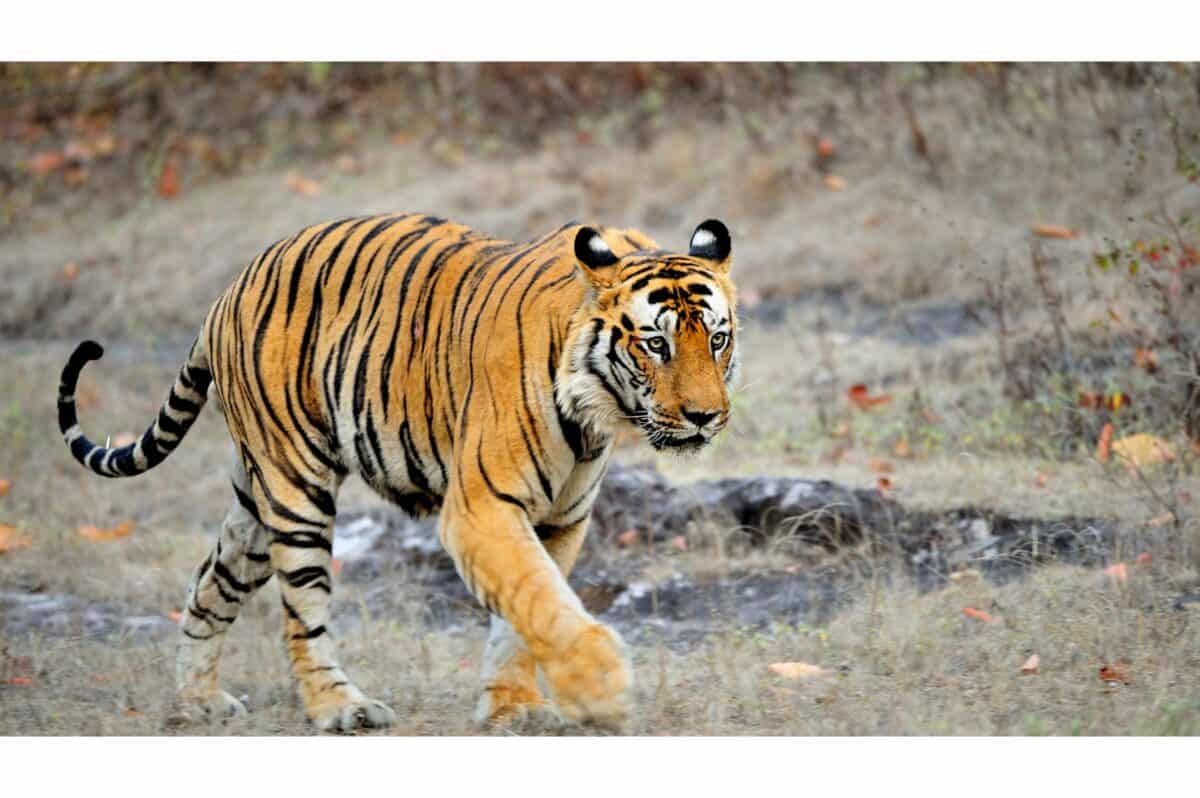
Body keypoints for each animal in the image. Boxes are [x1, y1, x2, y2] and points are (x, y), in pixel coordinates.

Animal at [56, 212, 738, 732]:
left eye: (718, 339)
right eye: (656, 344)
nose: (705, 416)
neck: (596, 408)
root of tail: (228, 290)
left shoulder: (560, 520)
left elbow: (523, 615)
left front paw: (513, 707)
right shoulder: (481, 508)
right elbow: (542, 600)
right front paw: (601, 687)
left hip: (254, 505)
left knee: (210, 583)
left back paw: (198, 700)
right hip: (296, 488)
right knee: (301, 615)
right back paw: (340, 709)